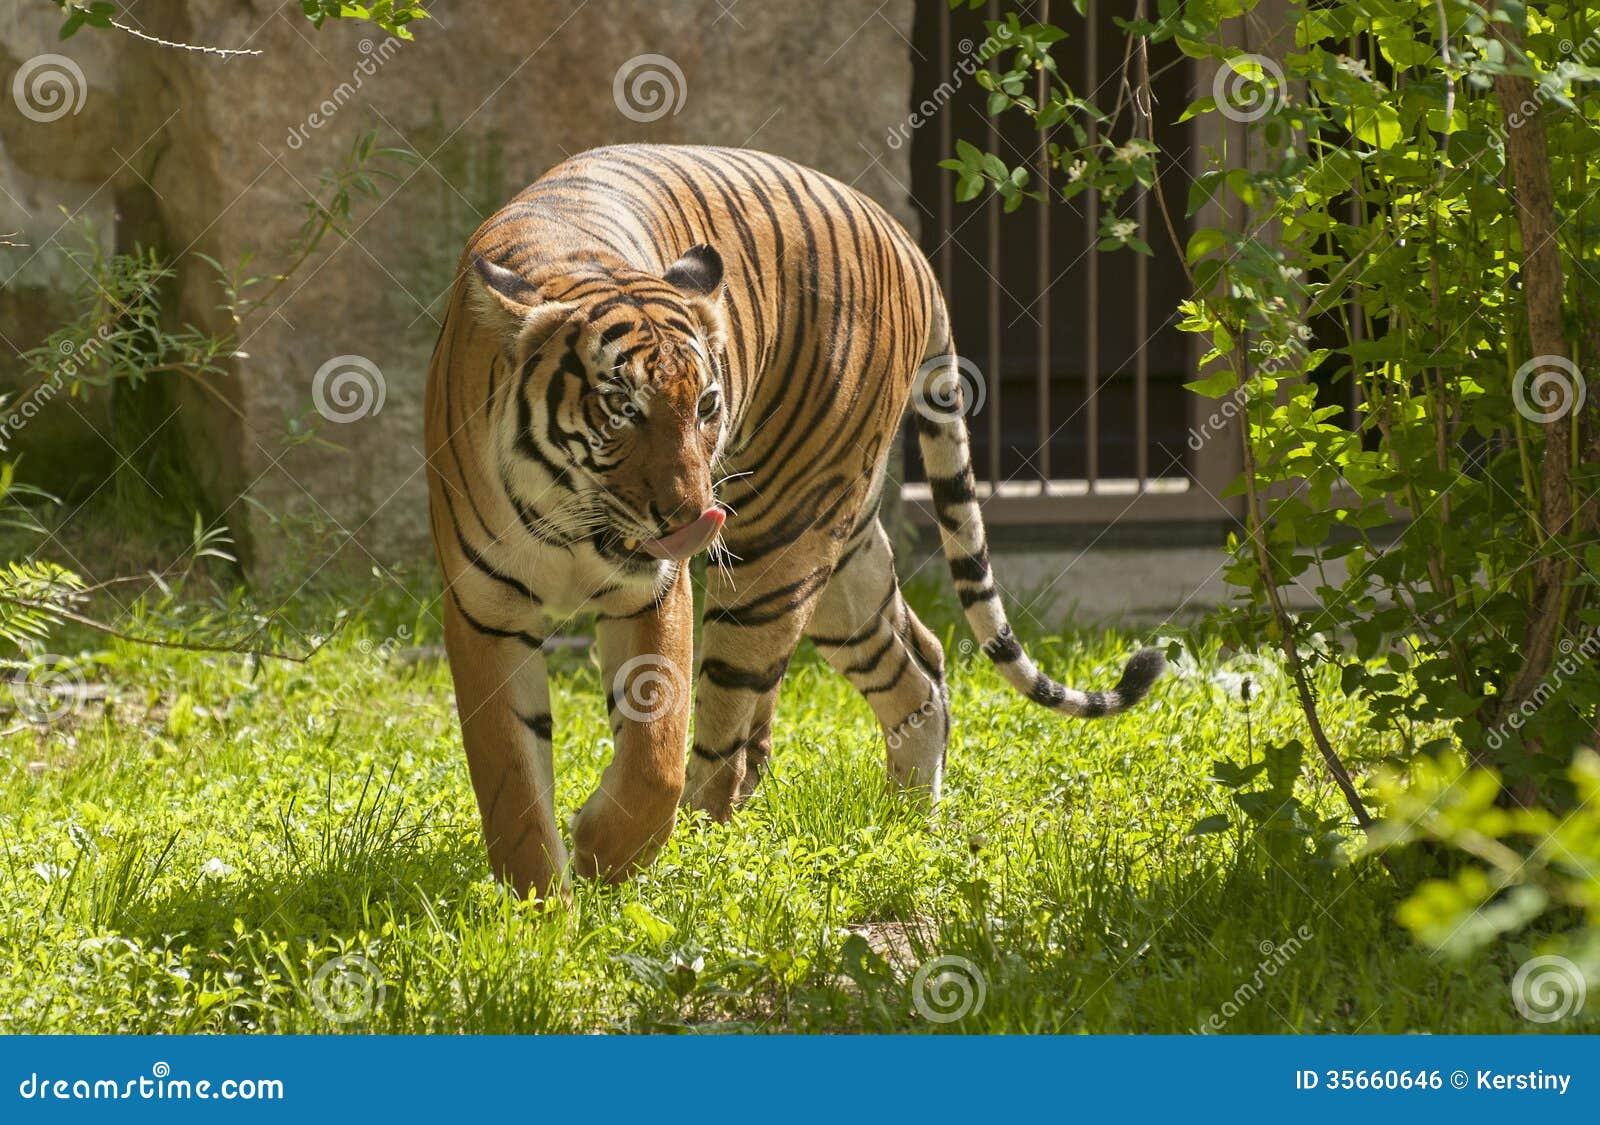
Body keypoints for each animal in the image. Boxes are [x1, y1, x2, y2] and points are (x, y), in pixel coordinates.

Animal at [425, 144, 1166, 900]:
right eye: (623, 409)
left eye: (706, 405)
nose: (694, 519)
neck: (570, 519)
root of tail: (903, 237)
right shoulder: (485, 609)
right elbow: (511, 780)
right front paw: (537, 905)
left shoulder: (655, 591)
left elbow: (655, 757)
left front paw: (603, 856)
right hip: (839, 561)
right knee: (917, 668)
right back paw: (910, 827)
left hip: (779, 551)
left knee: (724, 744)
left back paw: (707, 857)